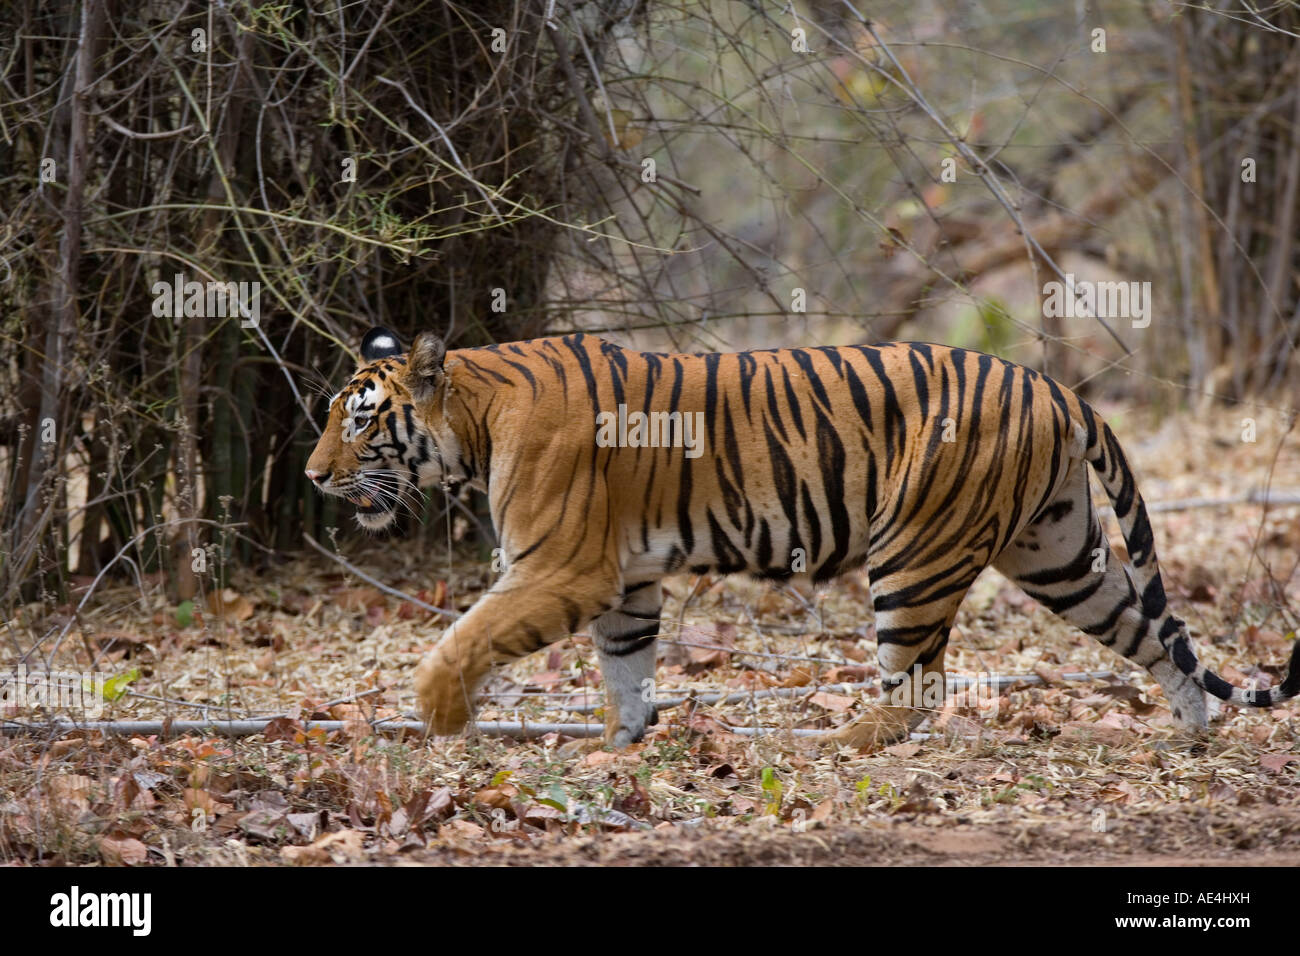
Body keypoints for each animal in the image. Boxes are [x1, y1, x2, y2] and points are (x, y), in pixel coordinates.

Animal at [304, 326, 1300, 749]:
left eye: (359, 420)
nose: (312, 476)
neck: (473, 420)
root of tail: (1054, 385)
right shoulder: (625, 582)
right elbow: (626, 670)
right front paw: (617, 747)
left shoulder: (562, 568)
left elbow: (460, 640)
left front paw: (441, 720)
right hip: (1057, 556)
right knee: (1157, 632)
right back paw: (1191, 733)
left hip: (916, 550)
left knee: (919, 686)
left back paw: (839, 742)